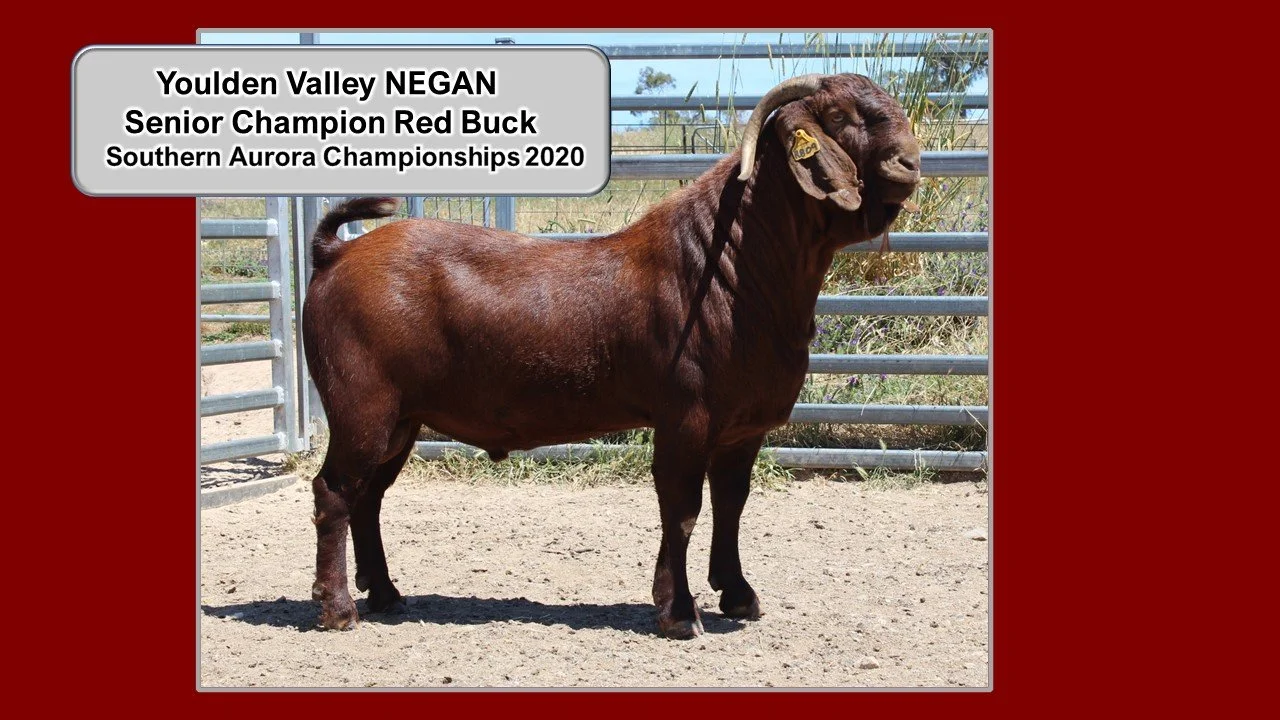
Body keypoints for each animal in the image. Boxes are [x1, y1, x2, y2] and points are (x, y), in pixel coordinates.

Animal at [302, 73, 922, 638]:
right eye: (839, 116)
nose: (910, 161)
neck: (726, 266)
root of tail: (334, 254)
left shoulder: (743, 427)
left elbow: (732, 502)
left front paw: (737, 595)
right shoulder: (685, 416)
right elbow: (682, 508)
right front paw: (680, 612)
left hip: (402, 418)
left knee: (369, 496)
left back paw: (386, 594)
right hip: (361, 403)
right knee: (335, 492)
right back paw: (339, 609)